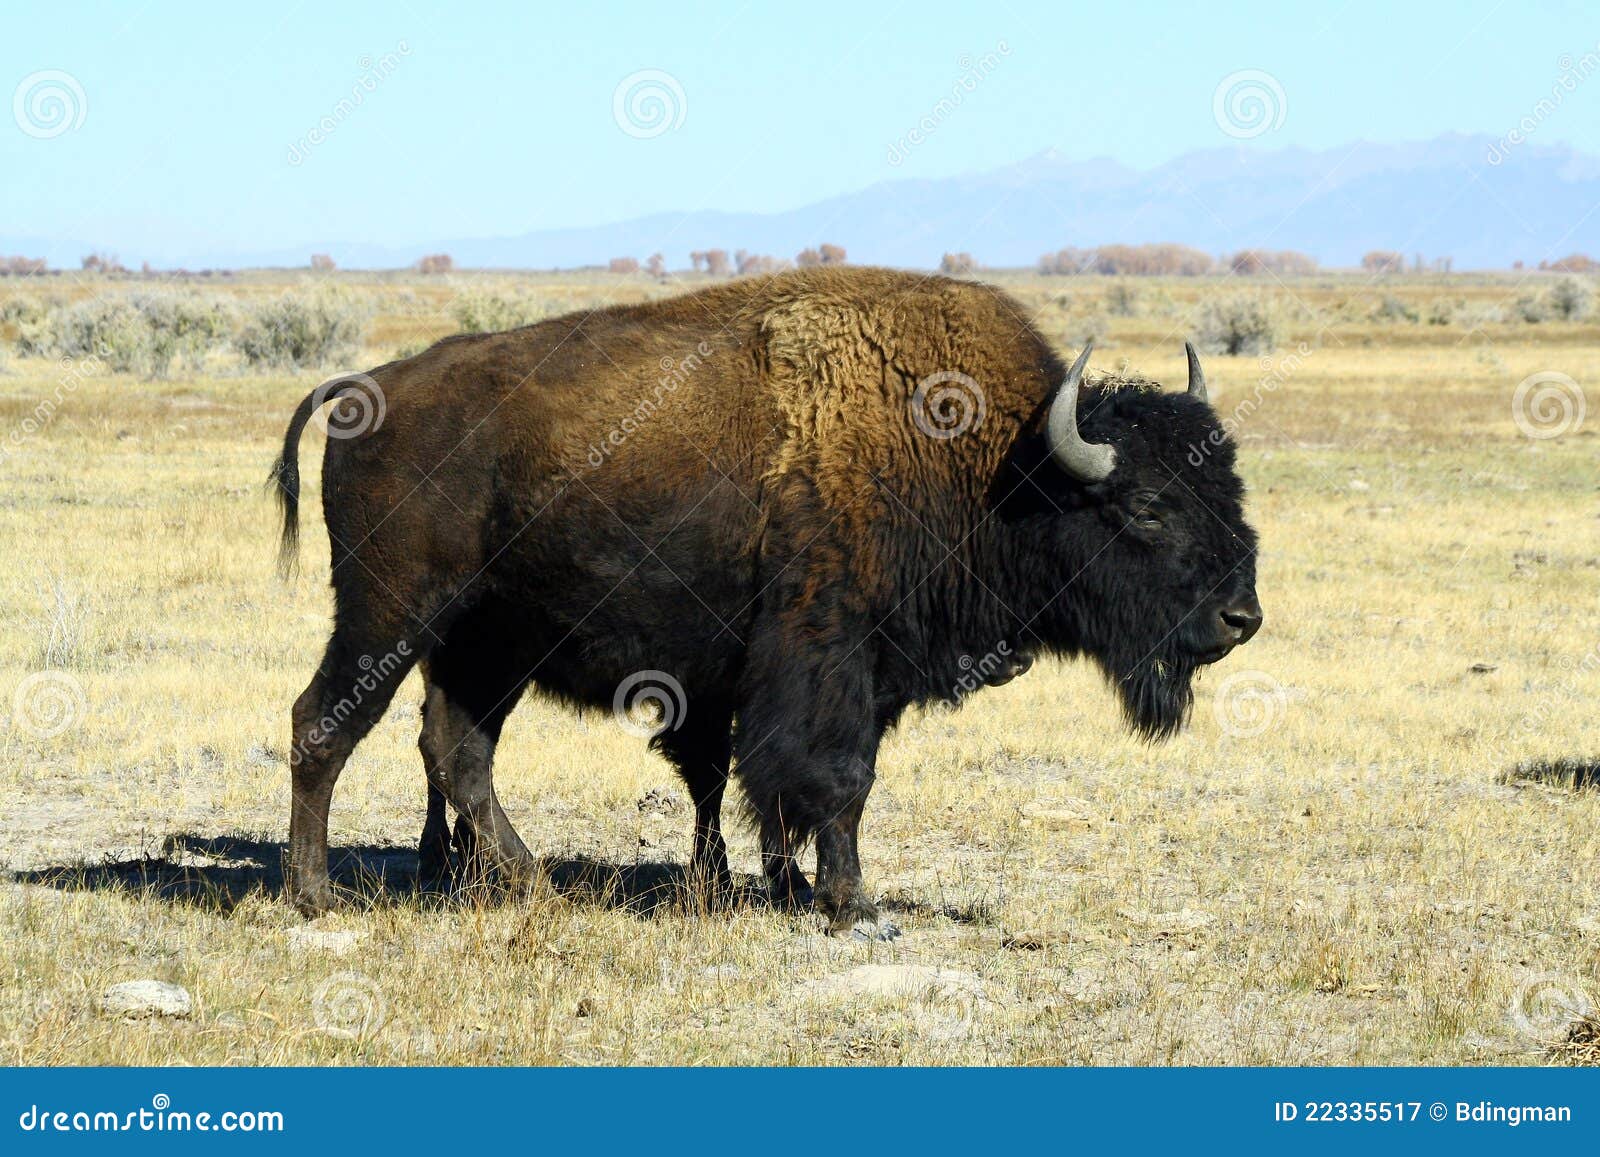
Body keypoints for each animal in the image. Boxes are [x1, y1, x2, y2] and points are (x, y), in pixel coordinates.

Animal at [270, 267, 1261, 935]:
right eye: (1148, 506)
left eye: (1229, 489)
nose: (1240, 618)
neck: (999, 465)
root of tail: (367, 389)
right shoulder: (825, 656)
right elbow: (836, 780)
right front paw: (853, 906)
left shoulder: (862, 672)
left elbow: (796, 786)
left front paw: (798, 889)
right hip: (388, 617)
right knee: (322, 723)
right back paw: (315, 896)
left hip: (486, 642)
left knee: (458, 752)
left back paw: (534, 888)